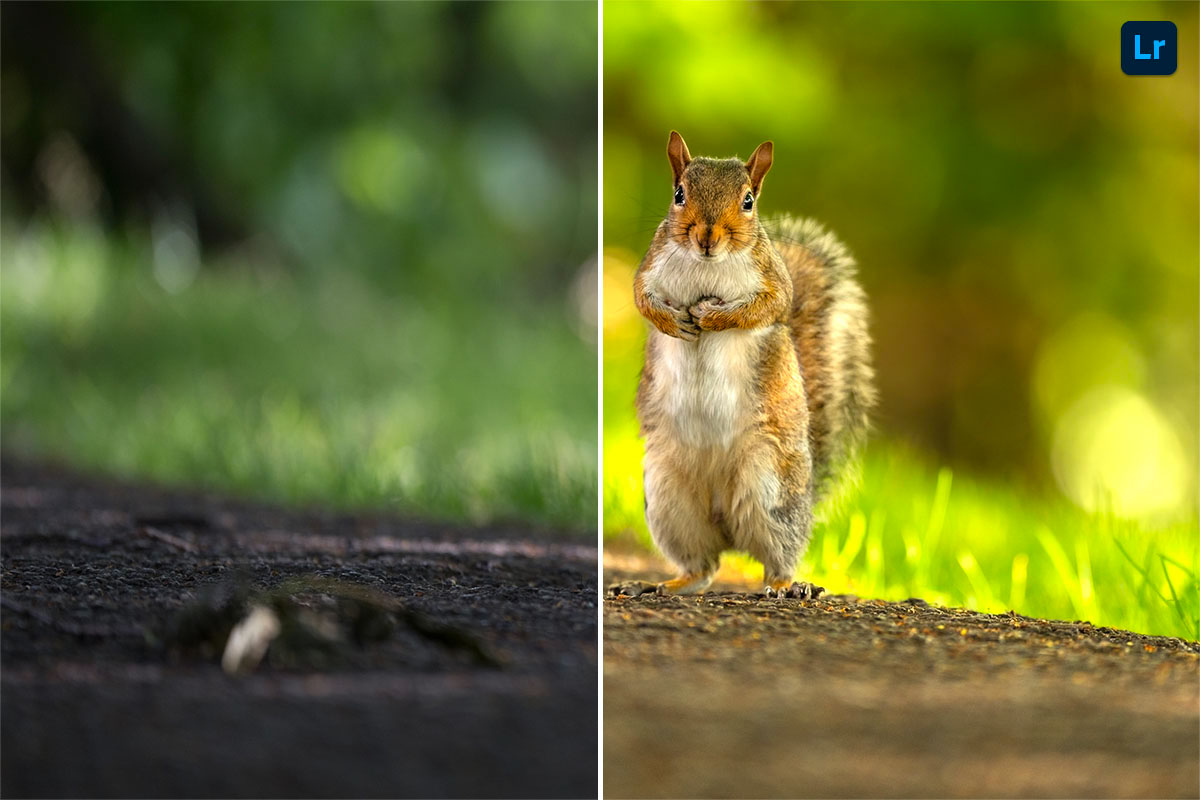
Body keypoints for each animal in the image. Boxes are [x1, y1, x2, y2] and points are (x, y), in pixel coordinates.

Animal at [613, 131, 876, 598]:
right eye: (679, 194)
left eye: (749, 200)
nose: (707, 237)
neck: (705, 265)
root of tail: (725, 522)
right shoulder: (650, 267)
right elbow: (643, 300)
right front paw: (673, 322)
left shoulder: (772, 279)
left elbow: (767, 306)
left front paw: (713, 317)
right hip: (668, 497)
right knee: (702, 566)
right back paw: (659, 584)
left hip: (769, 487)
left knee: (776, 556)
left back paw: (788, 586)